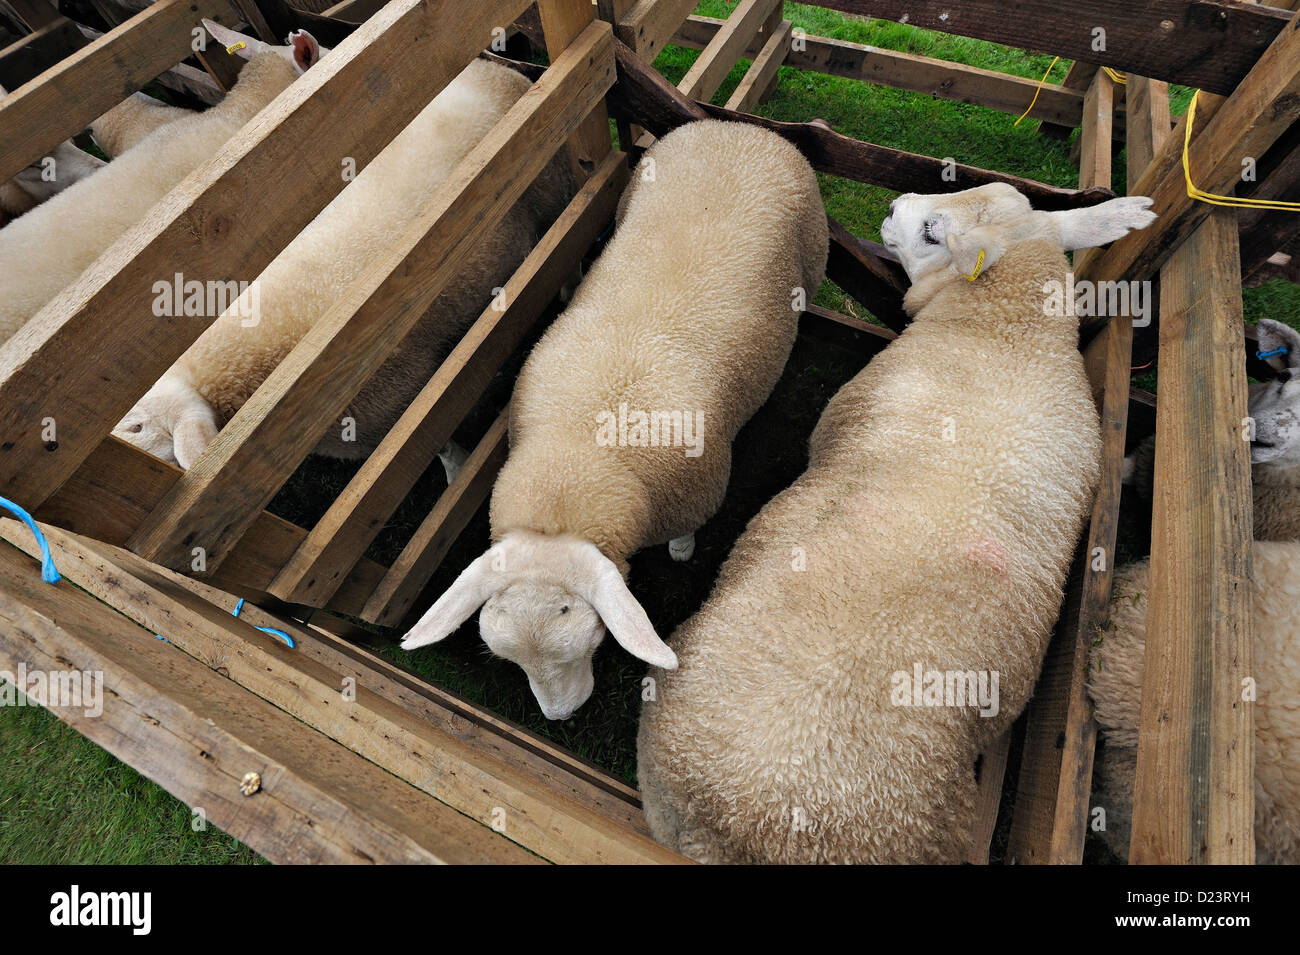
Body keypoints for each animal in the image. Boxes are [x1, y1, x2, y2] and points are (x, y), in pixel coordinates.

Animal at [113, 54, 573, 475]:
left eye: (137, 427)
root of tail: (489, 65)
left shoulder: (400, 402)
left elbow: (438, 442)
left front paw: (457, 470)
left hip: (553, 182)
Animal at [399, 119, 830, 721]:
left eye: (595, 641)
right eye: (510, 660)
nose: (560, 717)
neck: (580, 455)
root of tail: (734, 127)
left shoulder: (697, 488)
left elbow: (685, 535)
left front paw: (681, 551)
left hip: (813, 254)